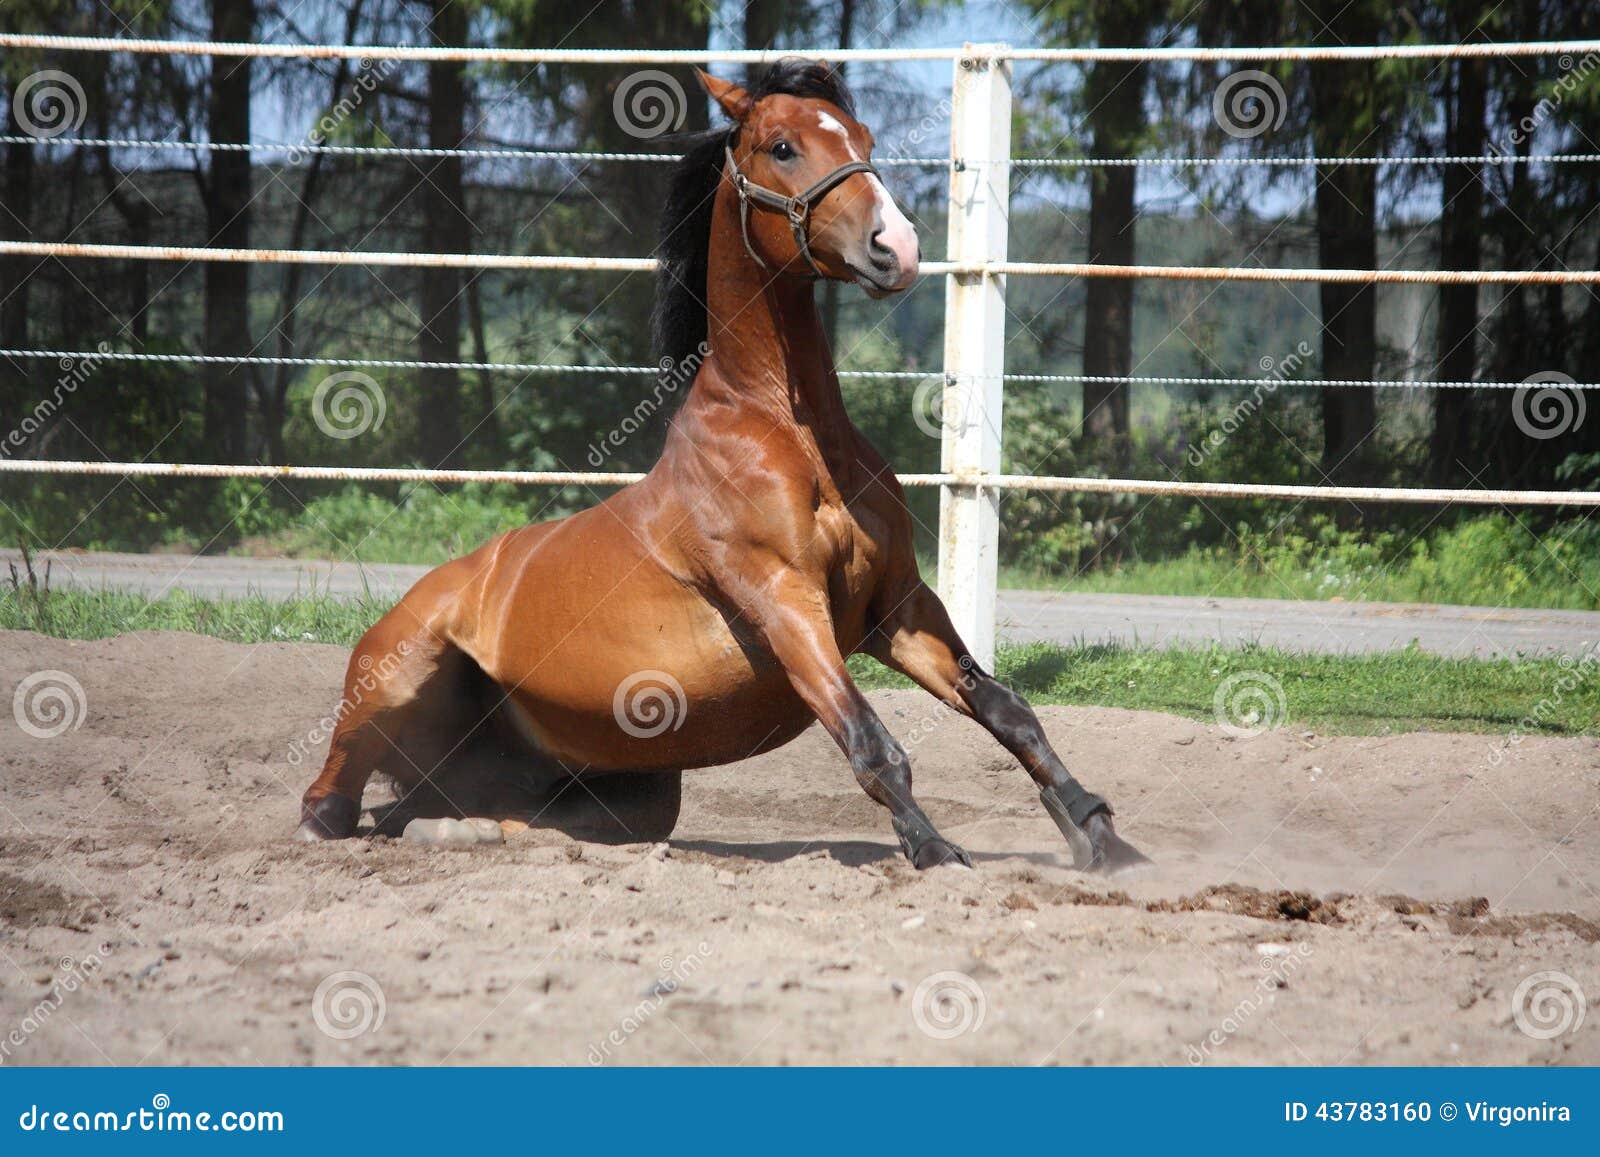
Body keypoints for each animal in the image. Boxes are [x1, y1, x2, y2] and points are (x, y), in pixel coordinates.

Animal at [296, 60, 1149, 875]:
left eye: (864, 139)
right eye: (783, 146)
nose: (896, 247)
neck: (789, 434)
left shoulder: (896, 605)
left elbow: (1007, 710)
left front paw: (1103, 838)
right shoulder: (786, 604)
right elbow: (872, 743)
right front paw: (936, 851)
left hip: (629, 787)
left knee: (447, 812)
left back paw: (457, 830)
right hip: (395, 684)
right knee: (331, 806)